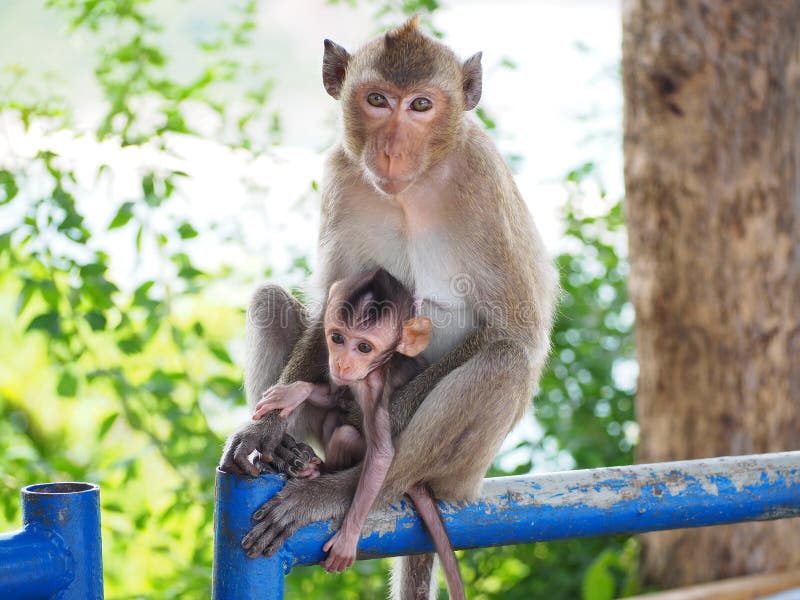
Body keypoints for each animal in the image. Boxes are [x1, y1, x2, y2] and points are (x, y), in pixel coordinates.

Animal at [251, 269, 466, 598]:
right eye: (337, 338)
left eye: (364, 347)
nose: (342, 362)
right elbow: (334, 396)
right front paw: (293, 392)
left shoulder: (372, 385)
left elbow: (381, 454)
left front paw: (346, 537)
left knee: (346, 435)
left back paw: (317, 470)